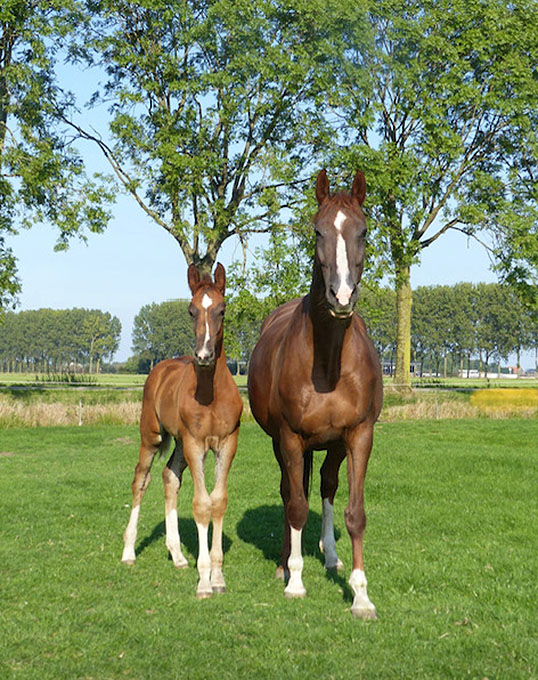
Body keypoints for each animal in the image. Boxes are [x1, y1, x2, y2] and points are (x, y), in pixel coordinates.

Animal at [121, 263, 243, 599]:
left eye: (222, 309)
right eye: (191, 310)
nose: (203, 356)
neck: (211, 393)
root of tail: (160, 367)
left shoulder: (227, 444)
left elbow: (218, 501)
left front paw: (218, 577)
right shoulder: (195, 444)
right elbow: (202, 505)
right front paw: (204, 582)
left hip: (177, 443)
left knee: (169, 477)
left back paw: (176, 555)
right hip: (152, 436)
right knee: (141, 480)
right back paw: (128, 551)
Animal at [248, 169, 382, 619]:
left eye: (363, 230)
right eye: (318, 230)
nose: (341, 296)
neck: (328, 361)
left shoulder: (359, 436)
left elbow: (354, 513)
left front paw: (360, 595)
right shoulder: (290, 438)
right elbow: (295, 505)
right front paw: (295, 581)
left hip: (333, 445)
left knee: (324, 486)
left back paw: (330, 555)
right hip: (283, 444)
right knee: (293, 492)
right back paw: (285, 565)